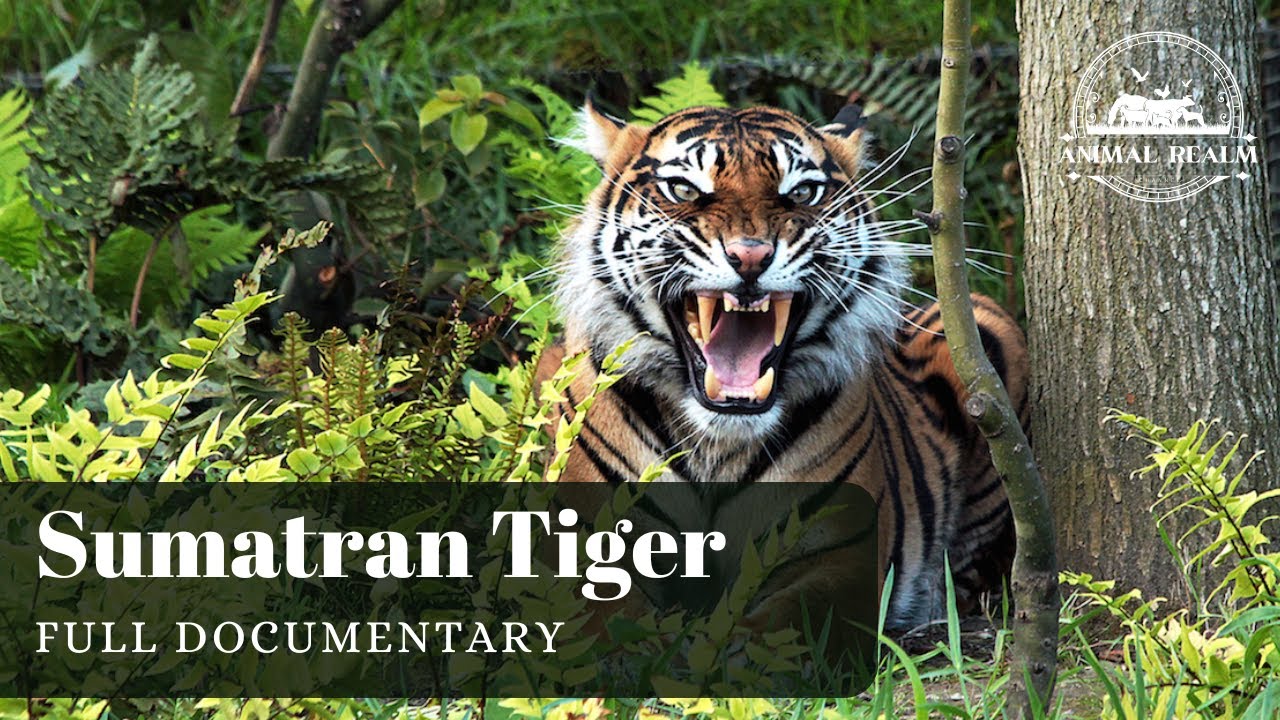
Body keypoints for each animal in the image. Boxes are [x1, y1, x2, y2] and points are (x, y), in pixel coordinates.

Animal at [536, 102, 1029, 637]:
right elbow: (607, 620)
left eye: (801, 193)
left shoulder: (840, 554)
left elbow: (781, 624)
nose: (750, 256)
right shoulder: (579, 544)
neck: (717, 444)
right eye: (684, 190)